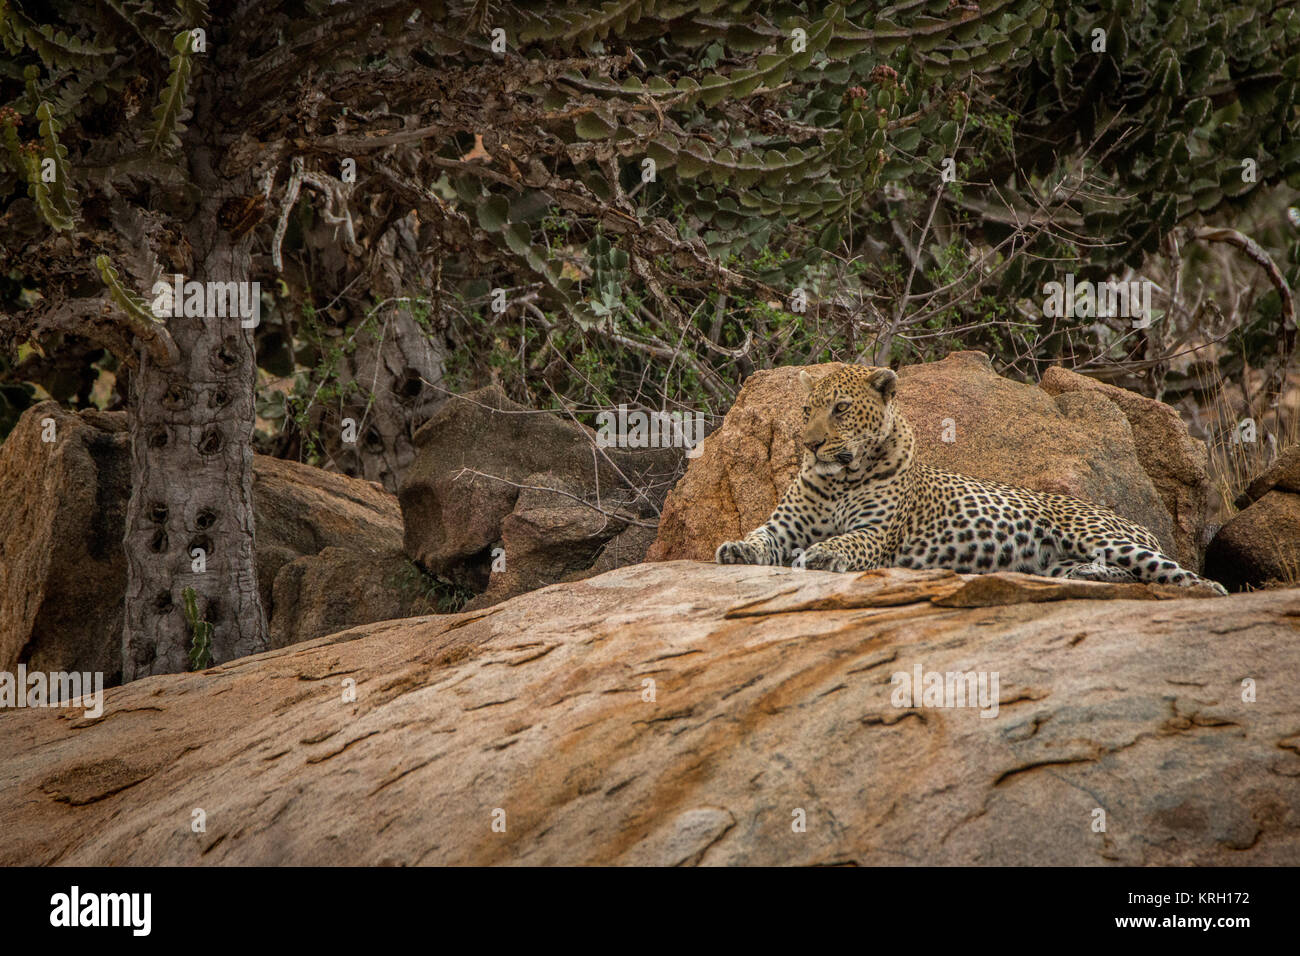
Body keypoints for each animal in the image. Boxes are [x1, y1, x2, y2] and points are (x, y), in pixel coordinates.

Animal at [715, 364, 1229, 596]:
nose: (810, 444)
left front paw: (822, 553)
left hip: (1099, 534)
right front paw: (737, 547)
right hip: (1055, 562)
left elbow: (847, 541)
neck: (842, 477)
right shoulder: (785, 526)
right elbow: (760, 536)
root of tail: (1135, 523)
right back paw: (1088, 574)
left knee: (1170, 571)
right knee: (1121, 573)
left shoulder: (876, 533)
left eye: (840, 409)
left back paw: (1205, 590)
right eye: (806, 410)